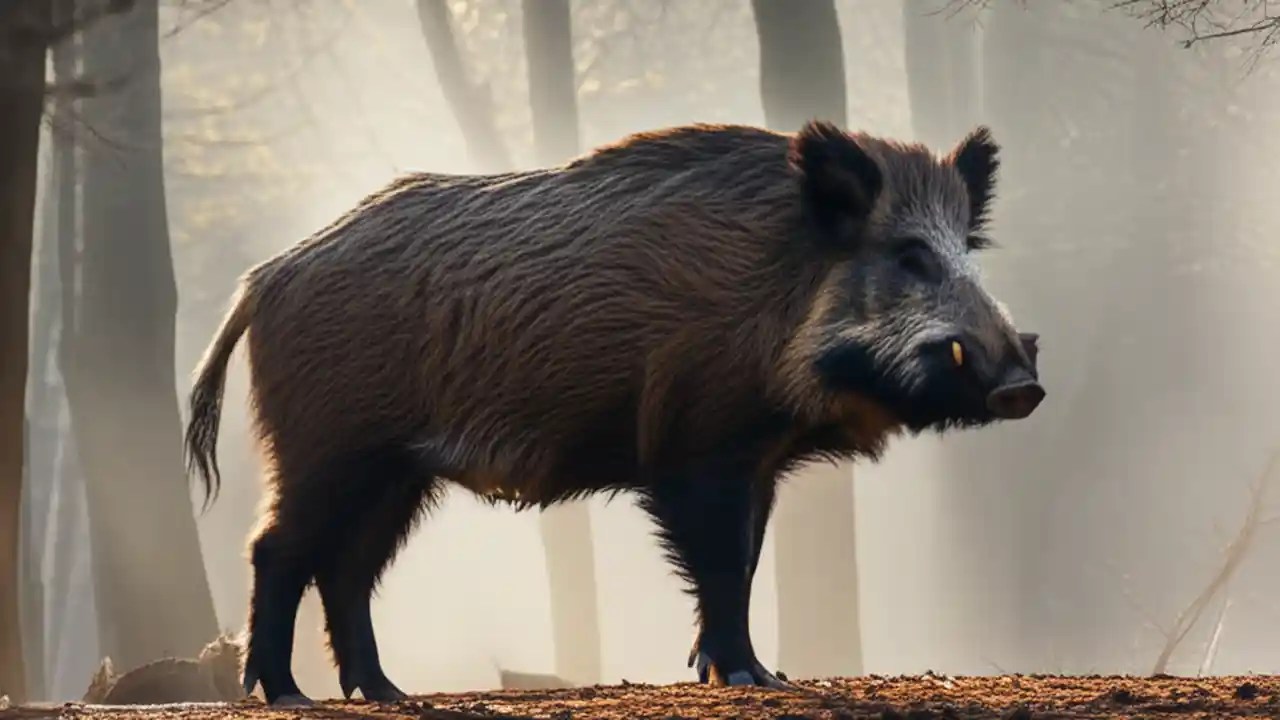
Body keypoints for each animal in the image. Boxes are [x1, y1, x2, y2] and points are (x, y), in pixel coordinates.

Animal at [184, 120, 1044, 706]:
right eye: (910, 254)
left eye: (967, 250)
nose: (1021, 386)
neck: (777, 294)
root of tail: (263, 278)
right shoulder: (695, 448)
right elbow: (721, 562)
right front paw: (745, 677)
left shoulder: (758, 462)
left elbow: (747, 561)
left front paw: (759, 674)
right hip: (327, 443)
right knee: (277, 548)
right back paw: (285, 693)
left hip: (397, 471)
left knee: (348, 565)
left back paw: (385, 693)